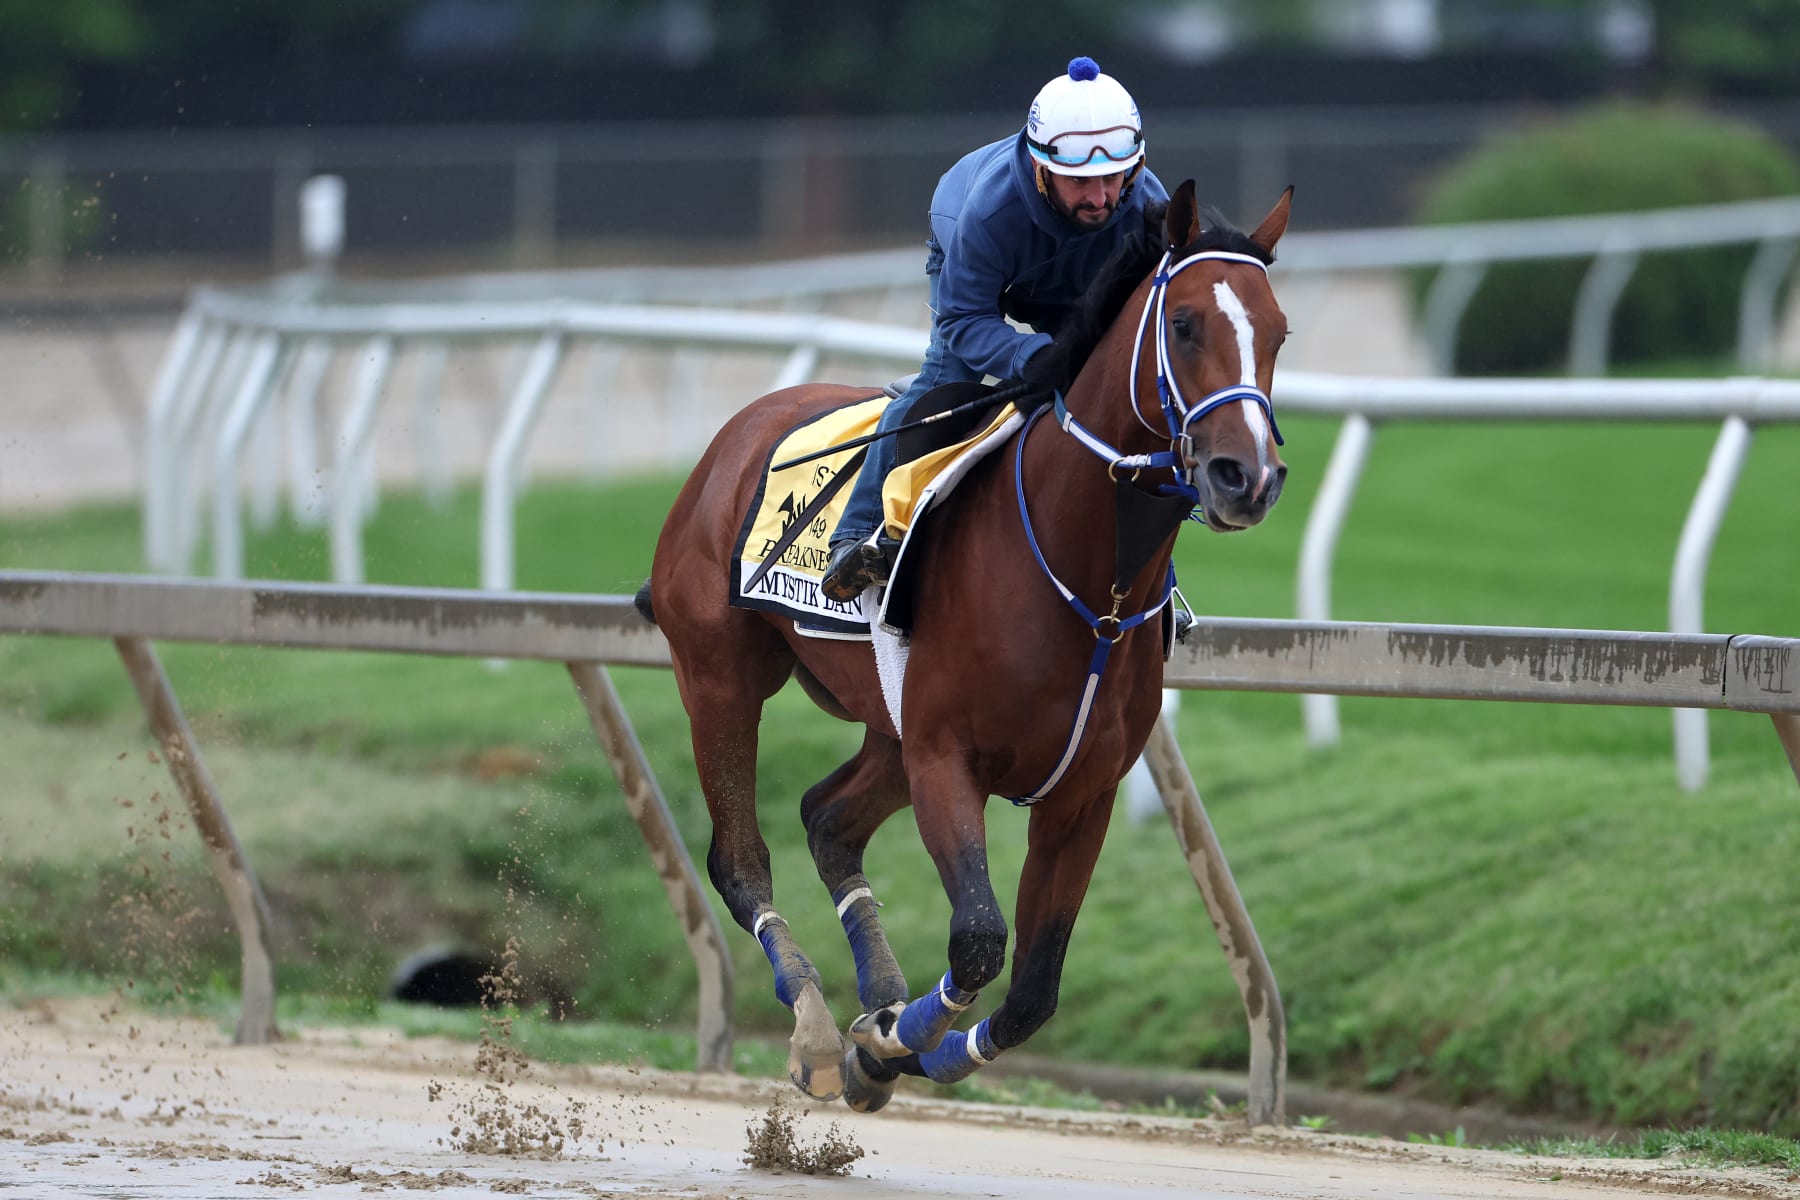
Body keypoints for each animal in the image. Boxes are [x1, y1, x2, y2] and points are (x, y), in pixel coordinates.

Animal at [638, 180, 1291, 1111]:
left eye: (1277, 332)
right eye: (1186, 324)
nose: (1248, 477)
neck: (1088, 586)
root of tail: (739, 432)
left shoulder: (1081, 792)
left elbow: (1033, 992)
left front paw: (902, 1045)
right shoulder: (947, 760)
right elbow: (980, 937)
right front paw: (883, 1039)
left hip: (887, 726)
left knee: (828, 819)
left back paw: (872, 1002)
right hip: (720, 679)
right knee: (739, 860)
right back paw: (815, 1028)